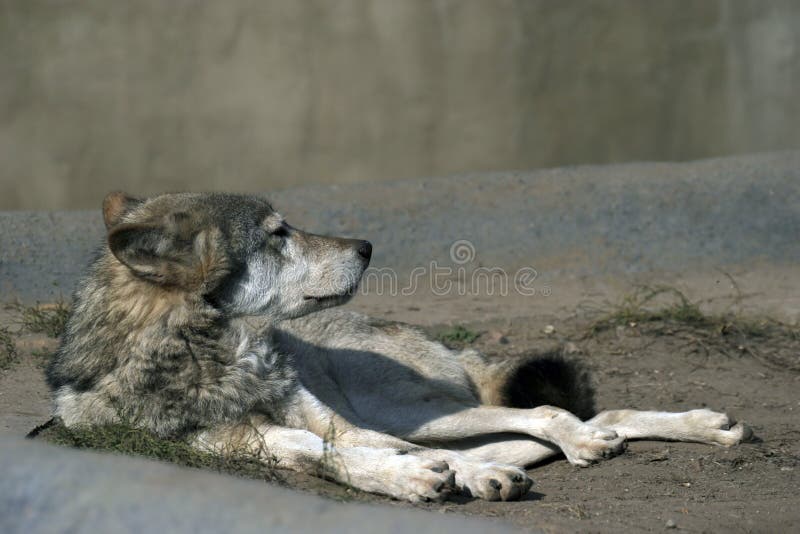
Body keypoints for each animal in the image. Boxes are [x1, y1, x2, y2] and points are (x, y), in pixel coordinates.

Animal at [46, 192, 752, 502]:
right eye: (278, 234)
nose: (366, 246)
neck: (227, 359)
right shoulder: (237, 442)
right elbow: (327, 457)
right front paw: (414, 479)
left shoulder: (340, 420)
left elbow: (366, 448)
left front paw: (456, 477)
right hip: (422, 415)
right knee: (568, 422)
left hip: (412, 410)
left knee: (562, 413)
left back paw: (690, 428)